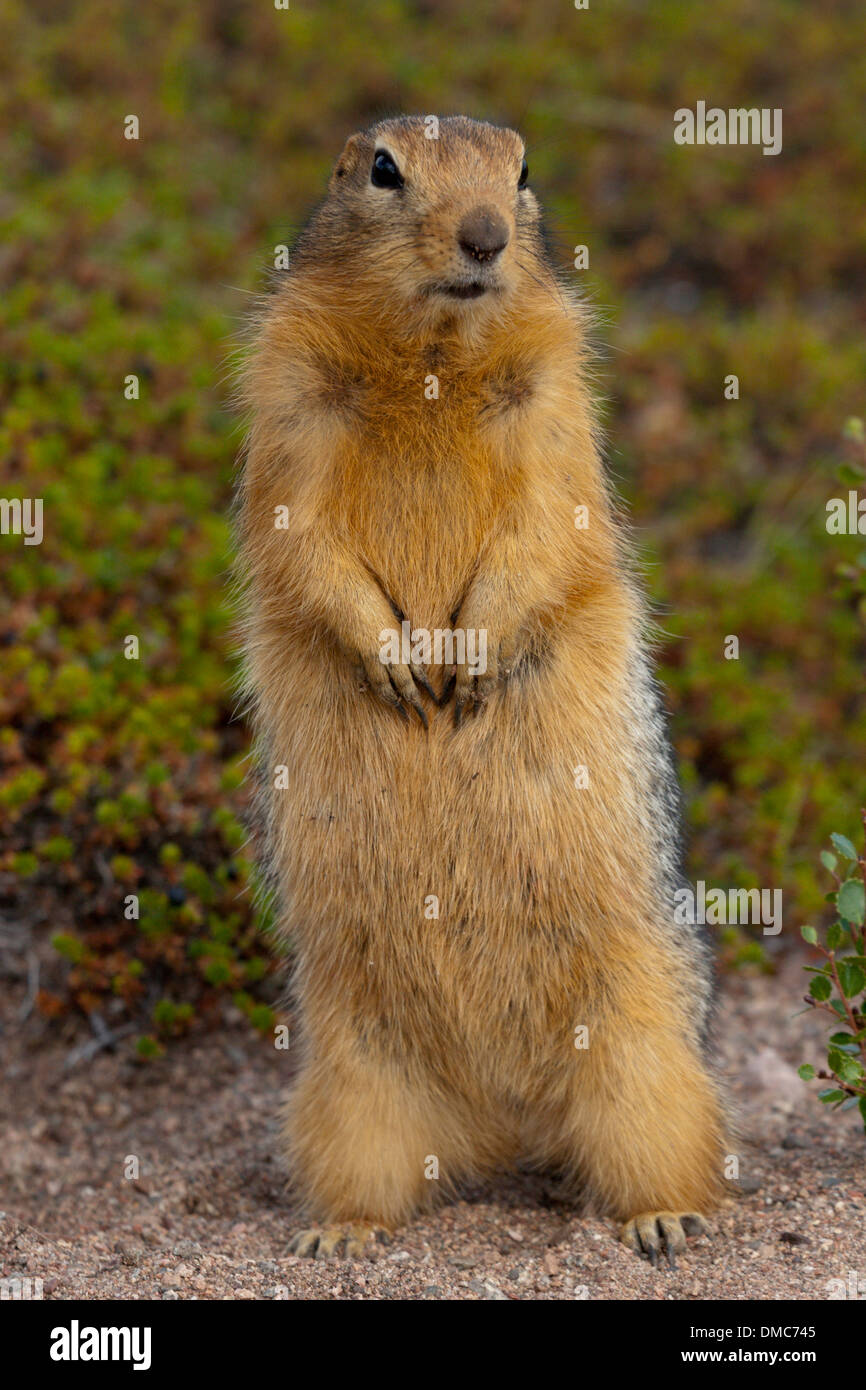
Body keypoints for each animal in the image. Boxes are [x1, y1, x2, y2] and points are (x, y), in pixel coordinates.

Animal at [236, 115, 729, 1264]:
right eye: (383, 170)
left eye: (523, 170)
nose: (486, 236)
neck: (431, 355)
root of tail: (507, 1118)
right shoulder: (287, 388)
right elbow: (297, 533)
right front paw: (397, 660)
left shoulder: (552, 393)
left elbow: (547, 524)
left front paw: (462, 659)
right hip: (347, 1075)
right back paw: (341, 1233)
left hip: (647, 1050)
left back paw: (664, 1217)